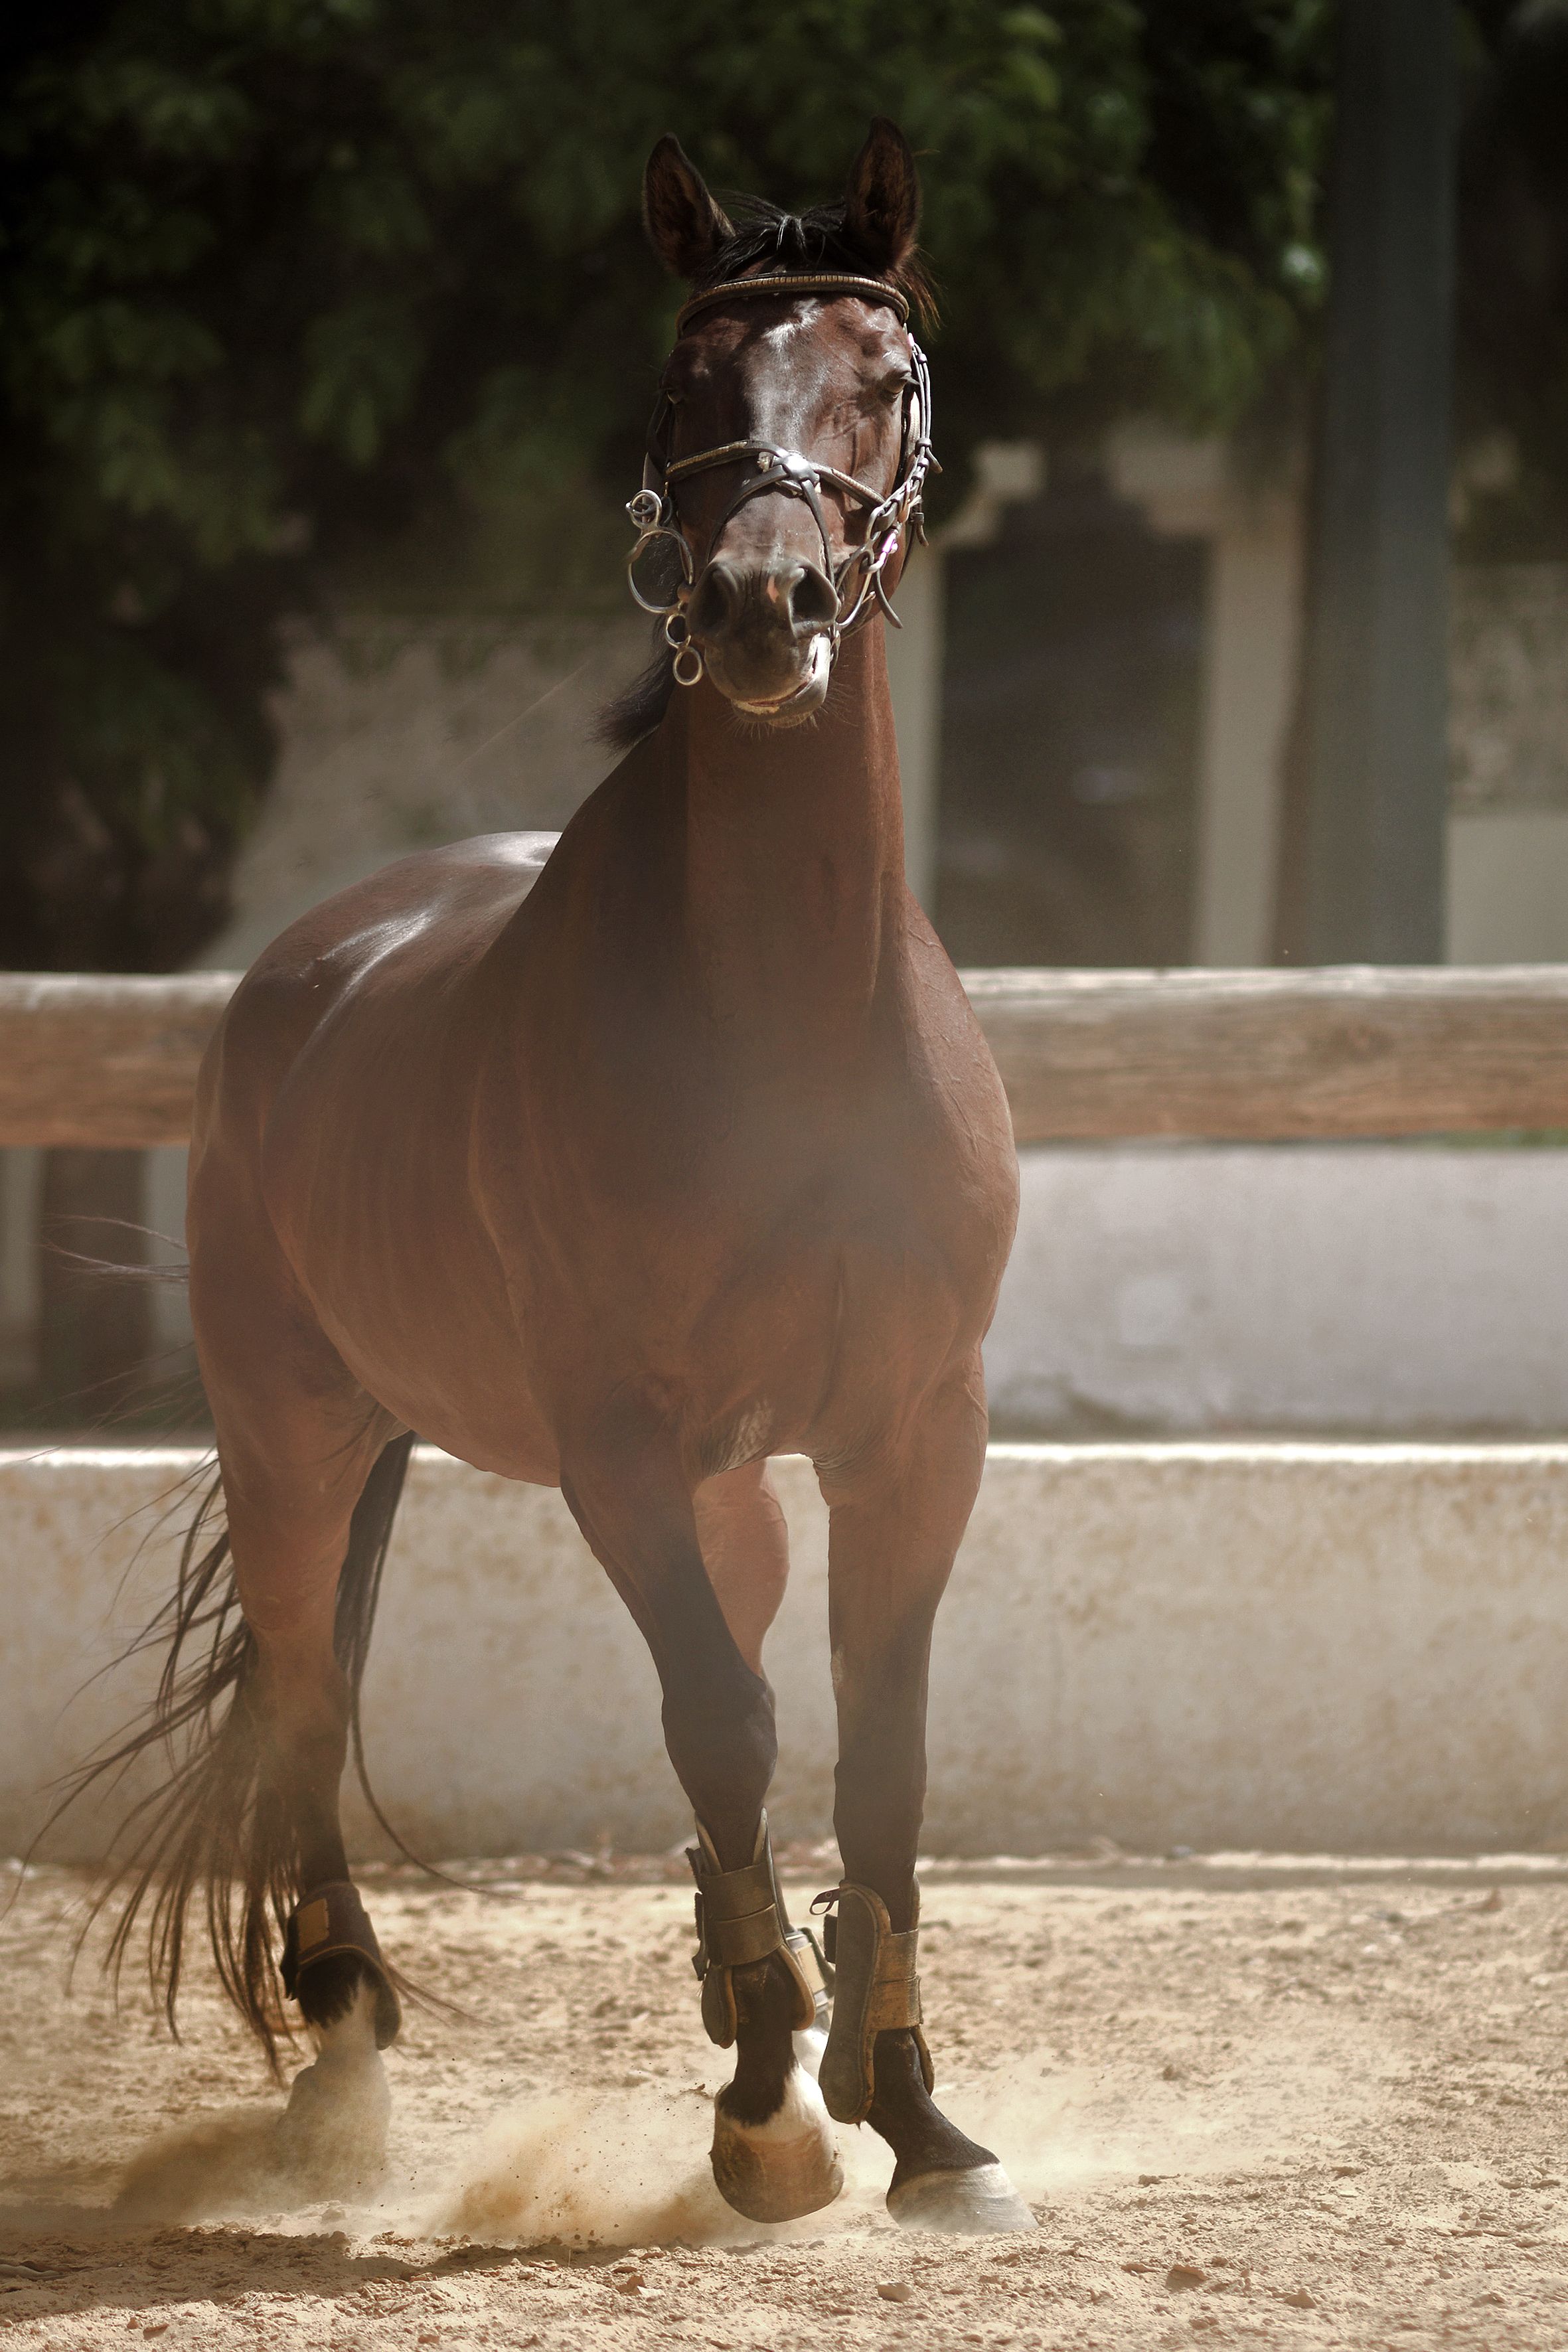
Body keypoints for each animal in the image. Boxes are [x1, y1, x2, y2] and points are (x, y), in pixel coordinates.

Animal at [77, 117, 1031, 2236]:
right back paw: (346, 2056)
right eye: (687, 380)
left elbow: (883, 1756)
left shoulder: (910, 1434)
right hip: (296, 1438)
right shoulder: (612, 1441)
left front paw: (912, 2113)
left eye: (885, 373)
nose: (767, 608)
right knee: (302, 1703)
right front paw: (769, 2121)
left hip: (728, 1483)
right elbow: (725, 1724)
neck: (786, 1023)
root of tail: (304, 966)